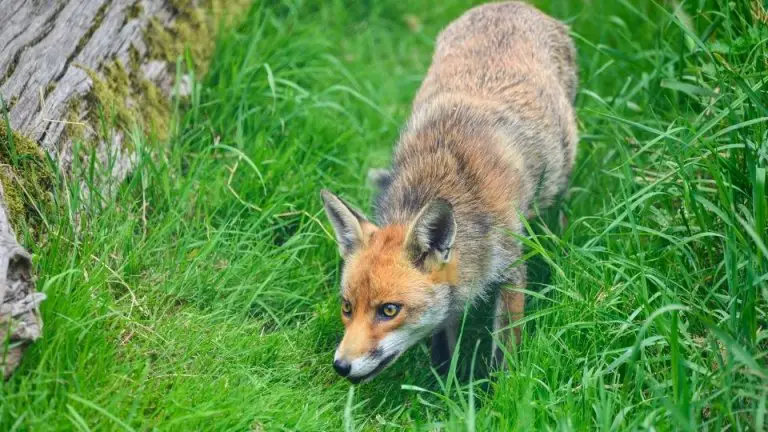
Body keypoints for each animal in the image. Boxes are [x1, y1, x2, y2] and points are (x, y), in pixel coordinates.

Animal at [320, 1, 578, 384]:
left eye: (389, 310)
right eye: (347, 307)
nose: (341, 366)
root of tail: (510, 5)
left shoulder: (511, 270)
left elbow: (504, 351)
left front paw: (498, 390)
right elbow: (443, 346)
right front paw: (445, 386)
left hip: (558, 175)